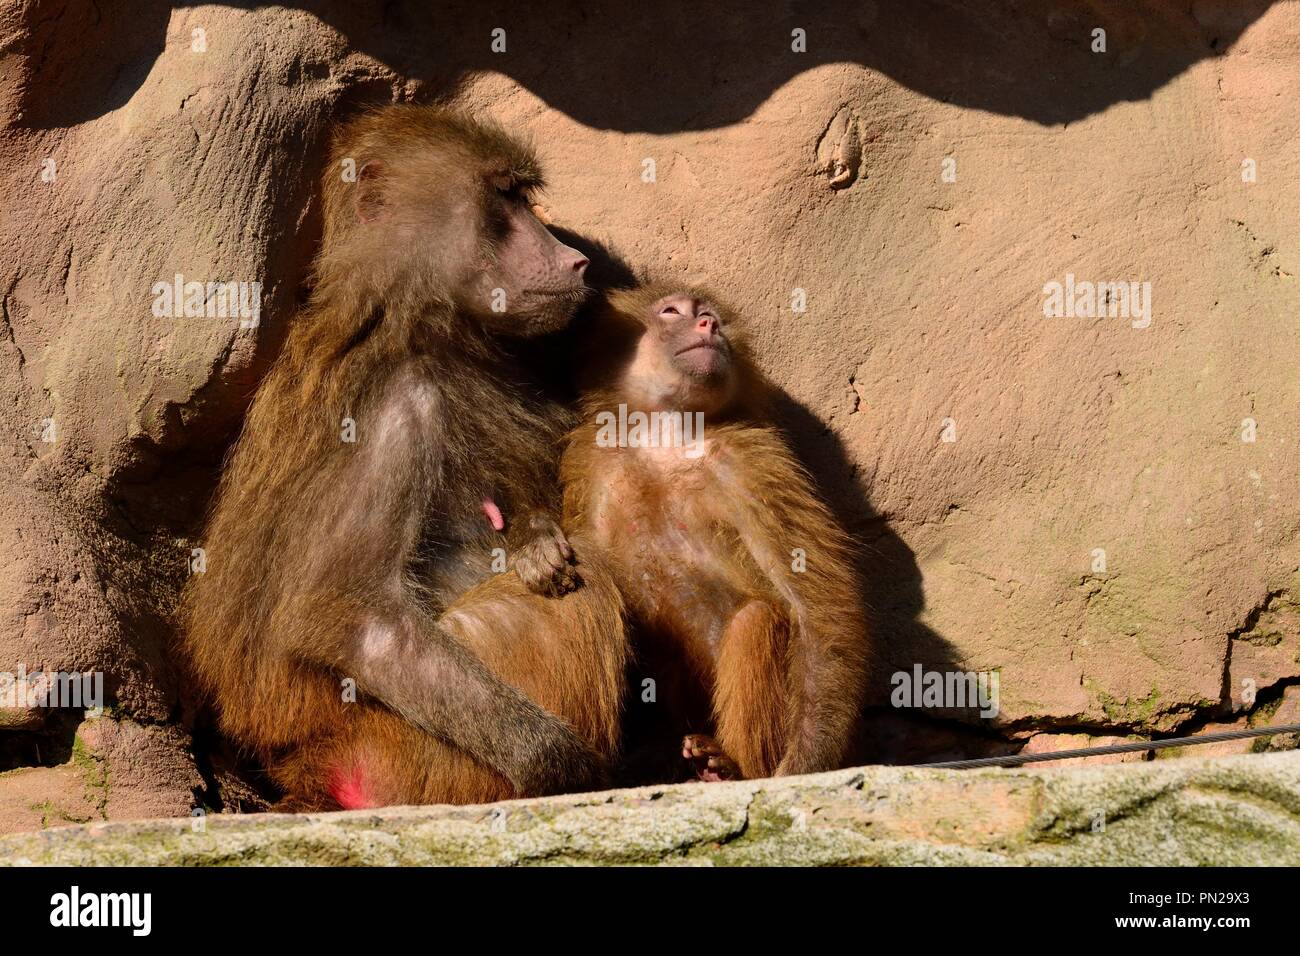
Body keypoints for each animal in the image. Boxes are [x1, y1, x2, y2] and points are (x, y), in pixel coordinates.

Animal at [180, 105, 628, 811]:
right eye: (505, 197)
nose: (577, 261)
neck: (411, 317)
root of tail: (305, 764)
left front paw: (534, 538)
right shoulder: (396, 409)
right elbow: (348, 615)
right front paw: (562, 767)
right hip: (414, 760)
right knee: (580, 591)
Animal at [561, 284, 868, 783]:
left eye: (709, 315)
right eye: (672, 312)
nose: (709, 326)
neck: (667, 438)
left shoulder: (752, 460)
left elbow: (814, 603)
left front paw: (810, 762)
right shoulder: (594, 461)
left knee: (757, 619)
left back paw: (730, 767)